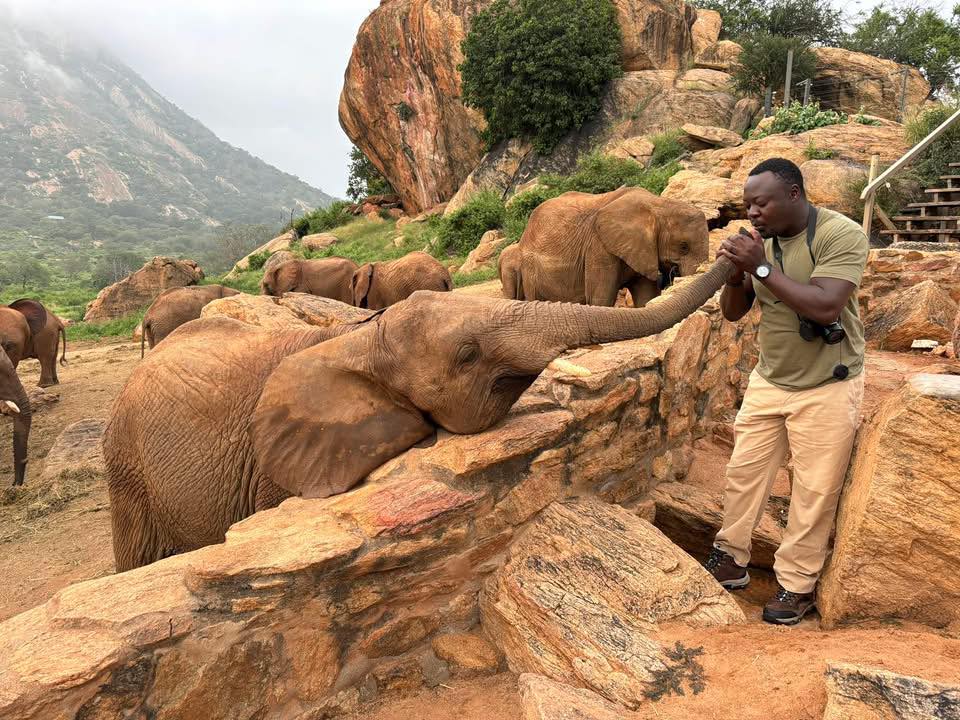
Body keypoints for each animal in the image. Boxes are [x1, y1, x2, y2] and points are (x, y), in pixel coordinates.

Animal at [503, 186, 709, 307]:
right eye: (684, 247)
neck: (657, 203)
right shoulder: (598, 246)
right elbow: (600, 298)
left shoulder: (642, 248)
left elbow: (647, 295)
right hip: (531, 270)